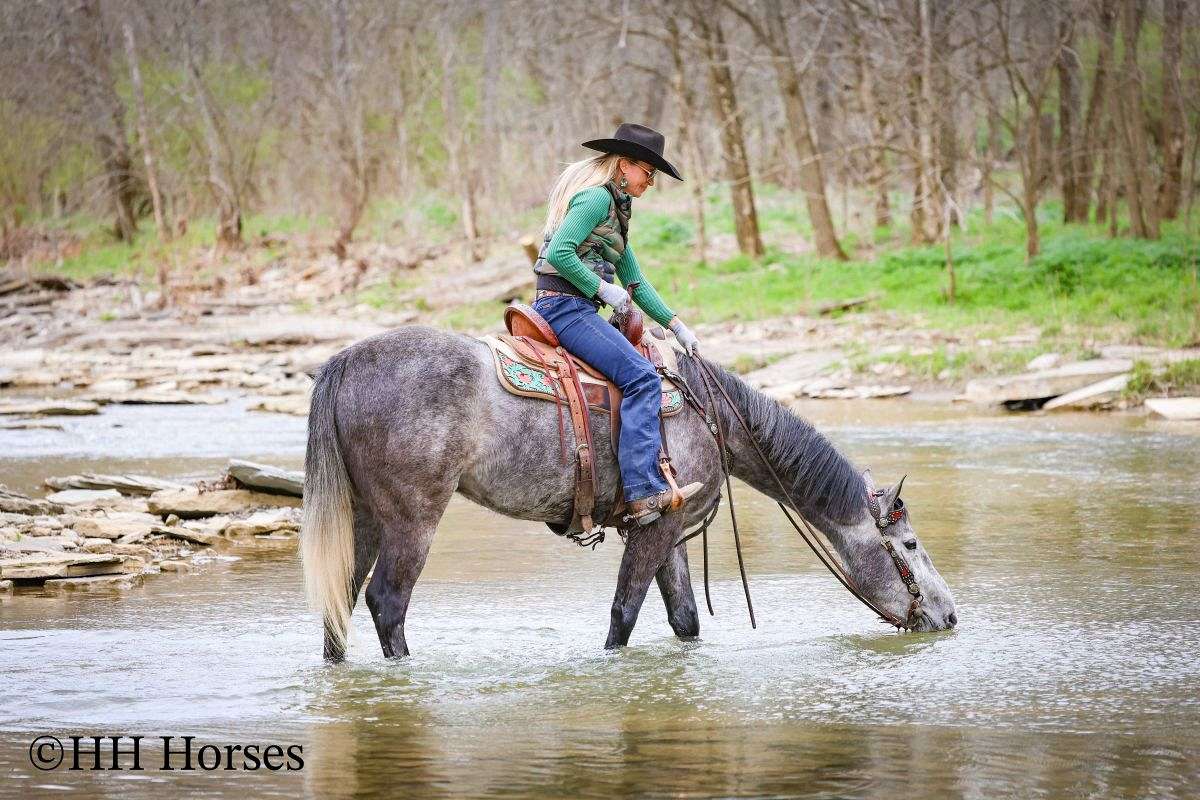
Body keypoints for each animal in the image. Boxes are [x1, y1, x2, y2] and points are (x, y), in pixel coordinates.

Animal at [300, 325, 958, 661]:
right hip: (413, 517)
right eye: (910, 544)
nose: (949, 615)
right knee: (387, 602)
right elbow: (624, 613)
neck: (709, 414)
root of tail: (345, 363)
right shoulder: (654, 529)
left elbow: (685, 618)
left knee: (341, 602)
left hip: (364, 517)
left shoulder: (668, 529)